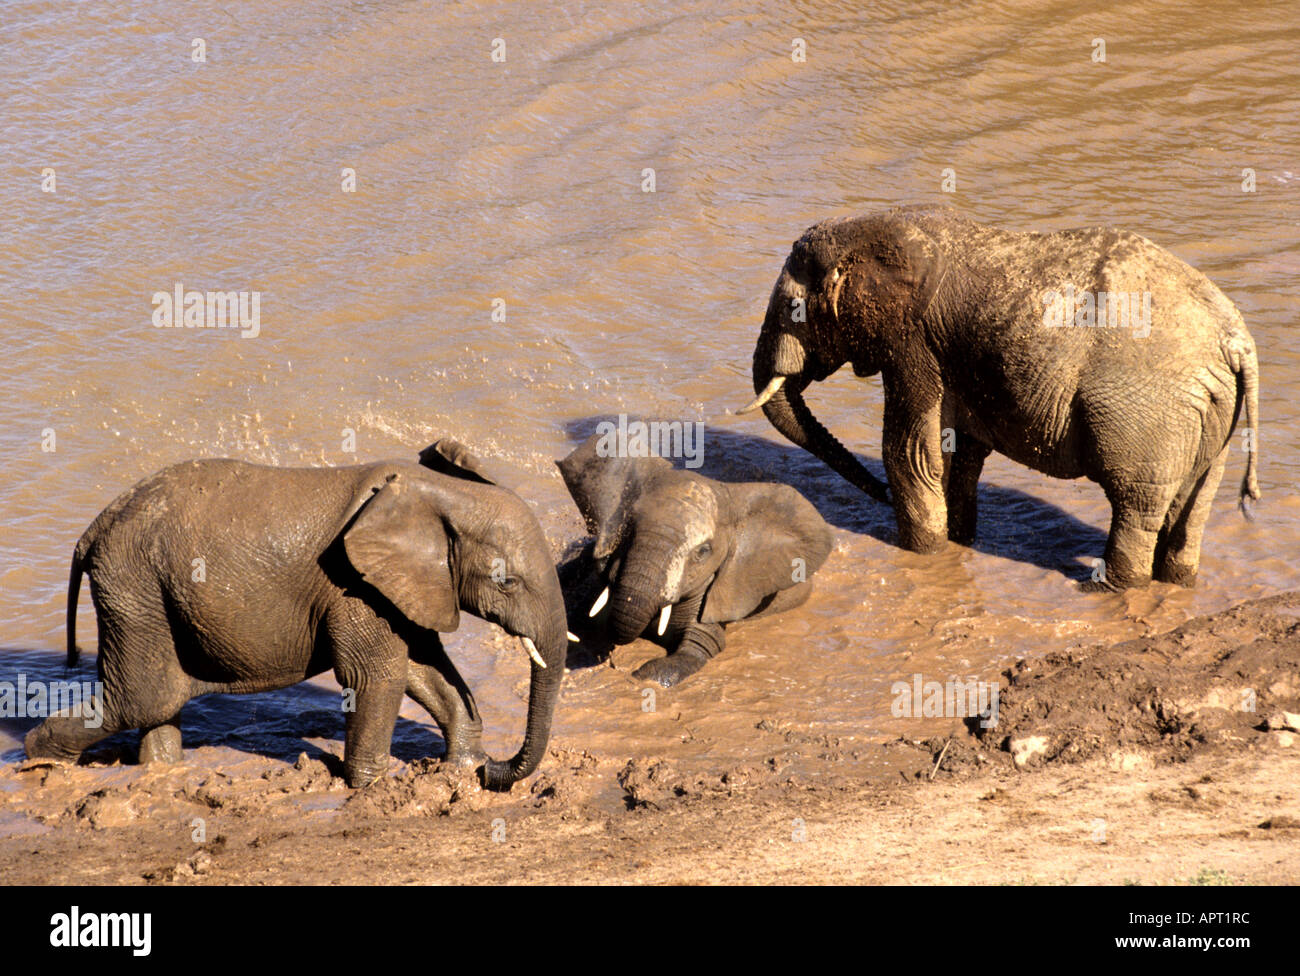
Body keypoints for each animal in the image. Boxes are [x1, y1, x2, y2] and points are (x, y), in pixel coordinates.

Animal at [25, 438, 567, 790]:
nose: (493, 769)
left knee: (157, 701)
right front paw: (370, 788)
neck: (426, 490)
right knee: (143, 699)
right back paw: (39, 759)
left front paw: (462, 768)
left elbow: (422, 668)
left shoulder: (398, 586)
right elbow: (379, 676)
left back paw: (161, 772)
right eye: (507, 581)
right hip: (134, 587)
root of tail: (92, 530)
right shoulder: (353, 584)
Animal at [740, 206, 1260, 590]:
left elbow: (909, 454)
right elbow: (958, 454)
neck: (880, 224)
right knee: (1194, 503)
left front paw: (923, 552)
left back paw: (1105, 589)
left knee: (1136, 504)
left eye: (793, 308)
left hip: (1150, 414)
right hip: (1215, 411)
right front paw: (956, 541)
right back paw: (1175, 582)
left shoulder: (913, 345)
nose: (878, 497)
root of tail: (1235, 339)